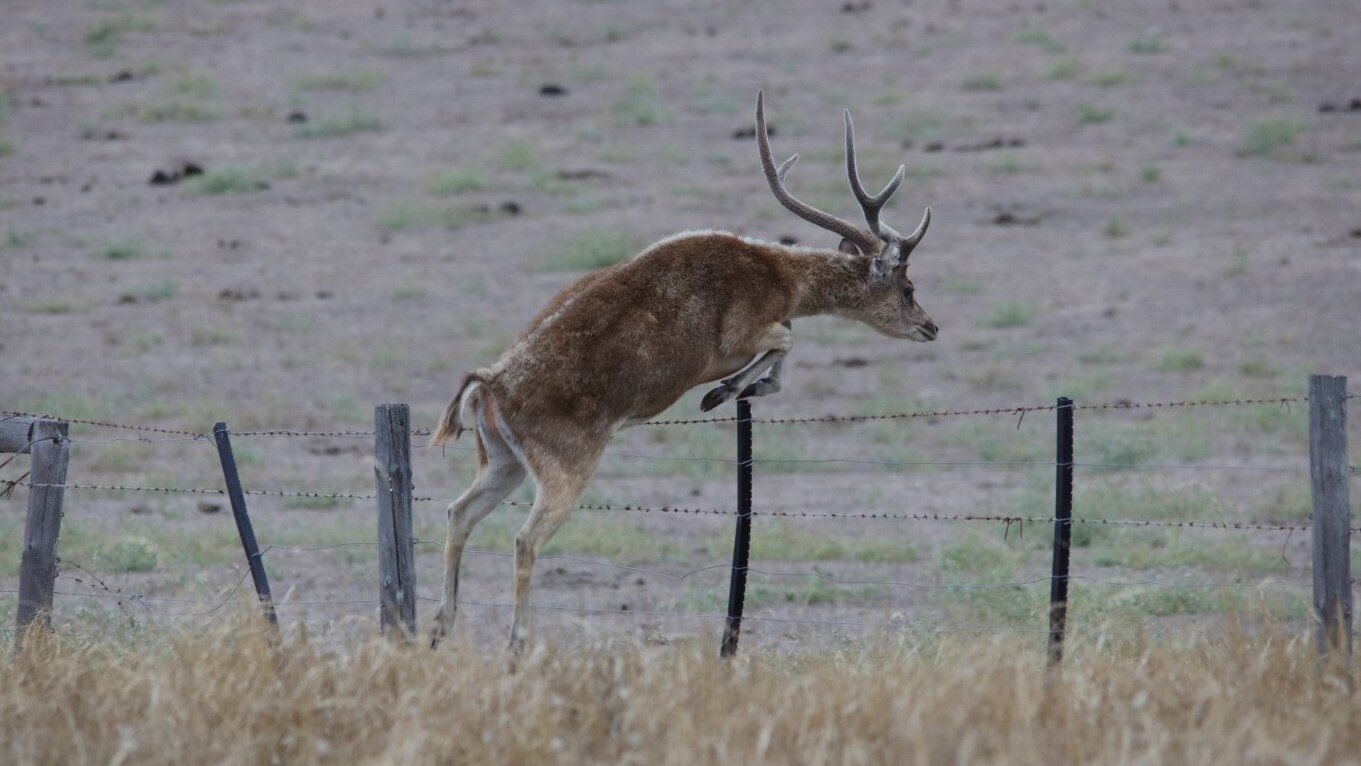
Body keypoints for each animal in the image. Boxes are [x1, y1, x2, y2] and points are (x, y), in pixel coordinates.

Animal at [428, 91, 937, 655]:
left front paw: (739, 389)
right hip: (568, 460)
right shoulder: (737, 334)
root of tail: (487, 387)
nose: (931, 326)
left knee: (458, 511)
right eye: (909, 288)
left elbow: (786, 338)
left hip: (501, 458)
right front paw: (727, 391)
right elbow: (786, 338)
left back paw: (438, 627)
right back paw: (516, 645)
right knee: (524, 537)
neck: (779, 279)